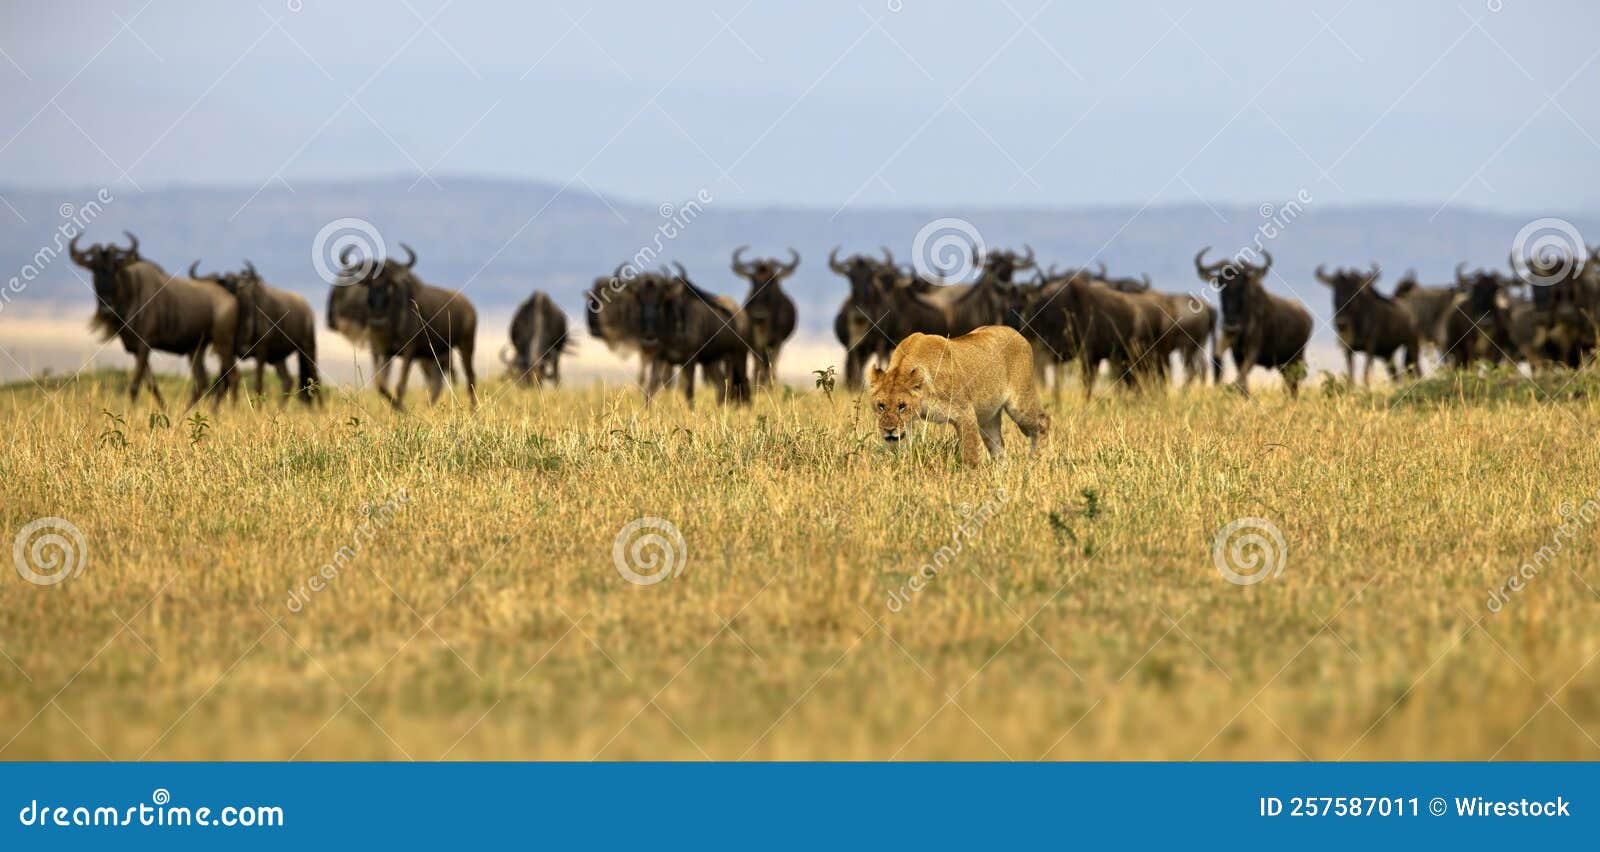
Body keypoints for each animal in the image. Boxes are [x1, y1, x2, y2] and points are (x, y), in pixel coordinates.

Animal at [867, 325, 1049, 467]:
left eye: (902, 406)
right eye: (881, 406)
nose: (889, 430)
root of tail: (1018, 333)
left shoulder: (965, 413)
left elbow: (970, 455)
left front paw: (972, 483)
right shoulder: (908, 425)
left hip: (1019, 405)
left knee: (1043, 421)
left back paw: (1035, 463)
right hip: (988, 418)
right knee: (999, 448)